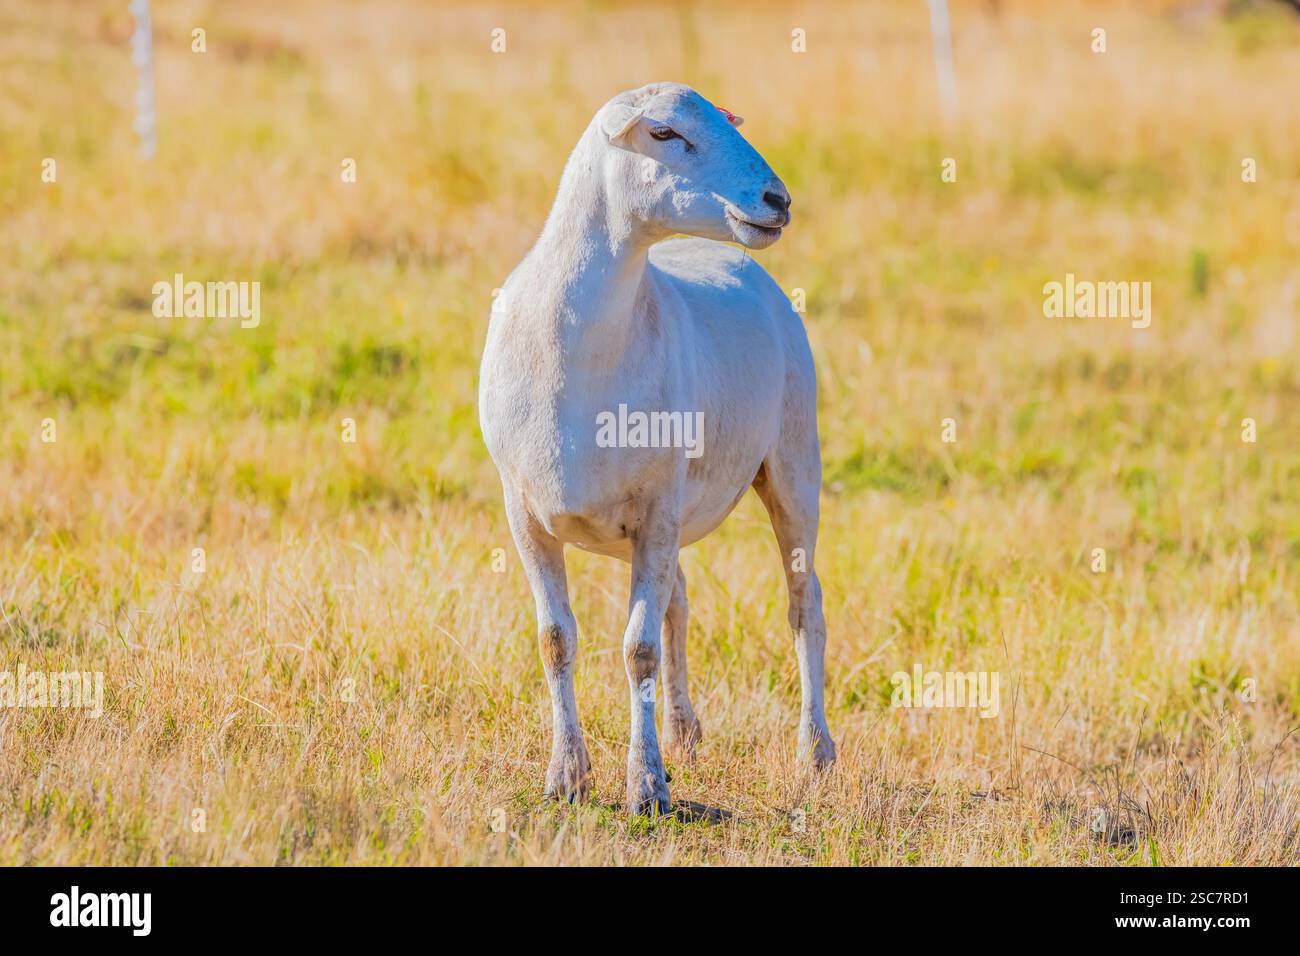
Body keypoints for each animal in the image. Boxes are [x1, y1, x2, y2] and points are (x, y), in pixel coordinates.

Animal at [479, 82, 835, 816]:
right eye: (665, 134)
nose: (778, 200)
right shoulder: (525, 512)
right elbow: (555, 641)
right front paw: (567, 777)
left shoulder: (657, 507)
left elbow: (636, 648)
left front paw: (645, 787)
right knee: (679, 599)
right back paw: (683, 731)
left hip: (790, 467)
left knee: (803, 604)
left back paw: (814, 752)